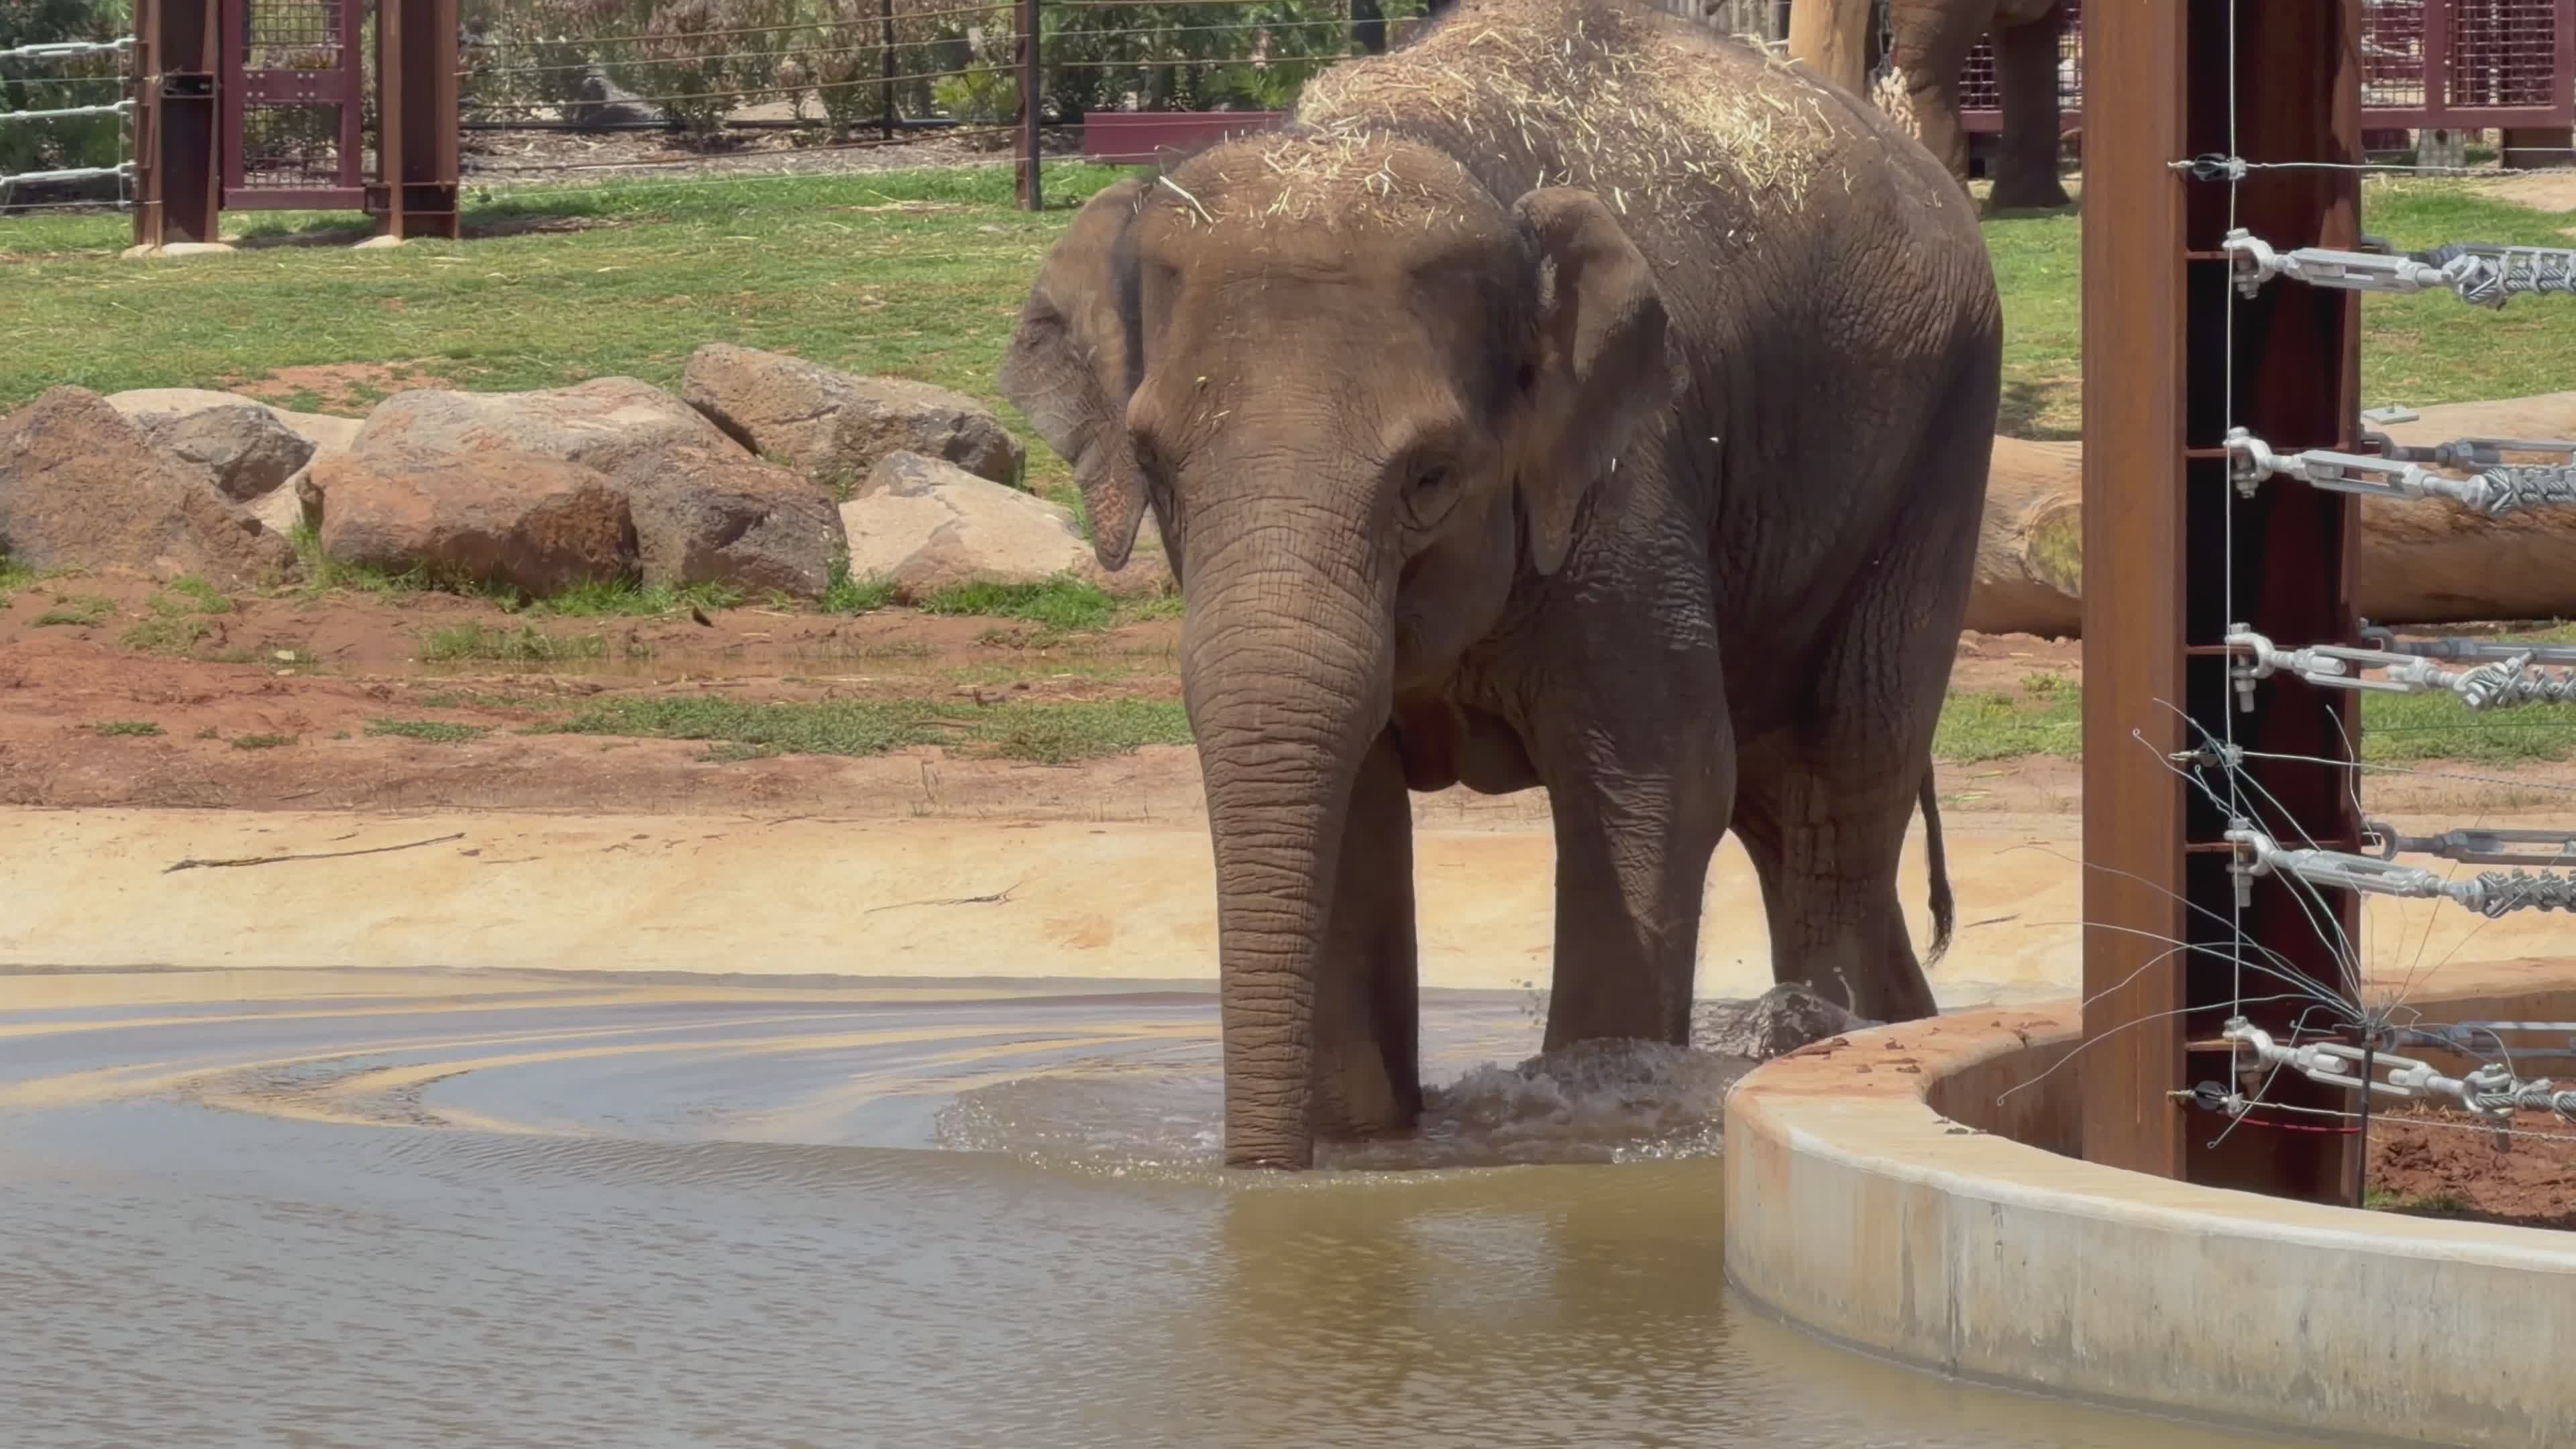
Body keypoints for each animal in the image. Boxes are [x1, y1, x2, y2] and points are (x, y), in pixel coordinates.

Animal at [997, 0, 2001, 1169]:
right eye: (1155, 469)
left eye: (1431, 476)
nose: (1251, 1174)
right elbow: (1350, 796)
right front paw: (1364, 1151)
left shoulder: (1629, 480)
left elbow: (1654, 781)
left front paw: (1591, 1127)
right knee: (1785, 804)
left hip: (1944, 430)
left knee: (1840, 778)